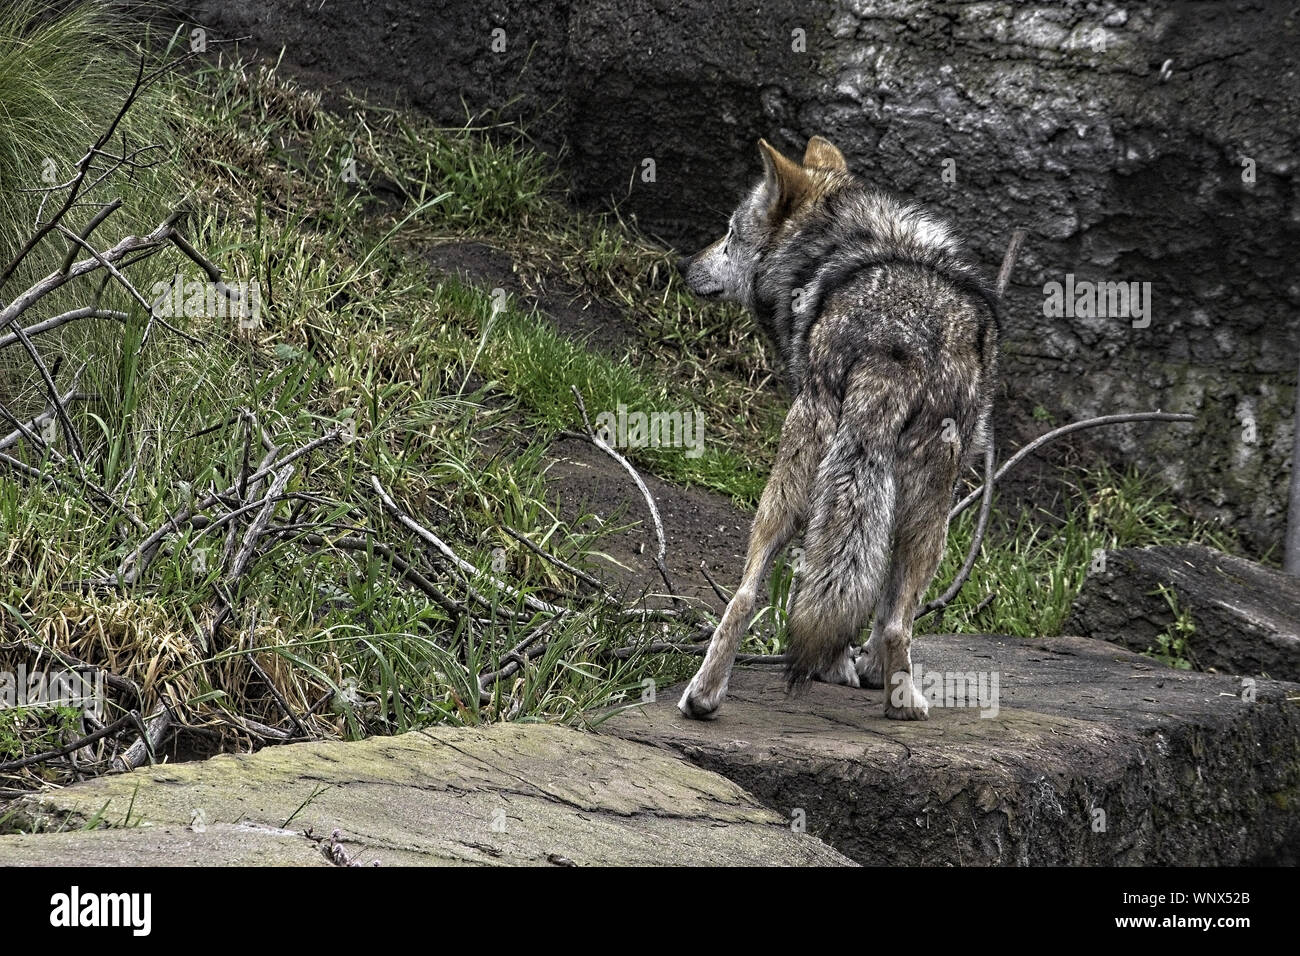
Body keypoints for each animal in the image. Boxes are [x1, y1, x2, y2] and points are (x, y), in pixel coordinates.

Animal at [670, 132, 993, 717]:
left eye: (729, 233)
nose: (684, 263)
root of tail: (894, 345)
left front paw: (848, 668)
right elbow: (876, 603)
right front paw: (859, 669)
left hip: (815, 491)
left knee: (759, 594)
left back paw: (704, 699)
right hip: (920, 517)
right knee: (881, 616)